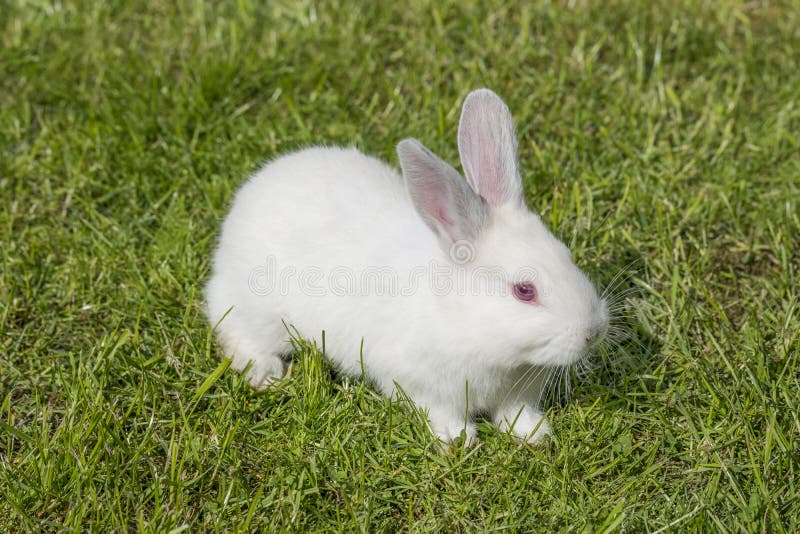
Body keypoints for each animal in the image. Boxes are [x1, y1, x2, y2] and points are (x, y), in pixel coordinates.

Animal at [206, 89, 609, 445]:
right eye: (524, 291)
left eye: (568, 255)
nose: (593, 331)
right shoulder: (418, 383)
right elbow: (441, 412)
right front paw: (458, 440)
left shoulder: (516, 392)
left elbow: (516, 412)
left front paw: (534, 435)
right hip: (258, 311)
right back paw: (265, 373)